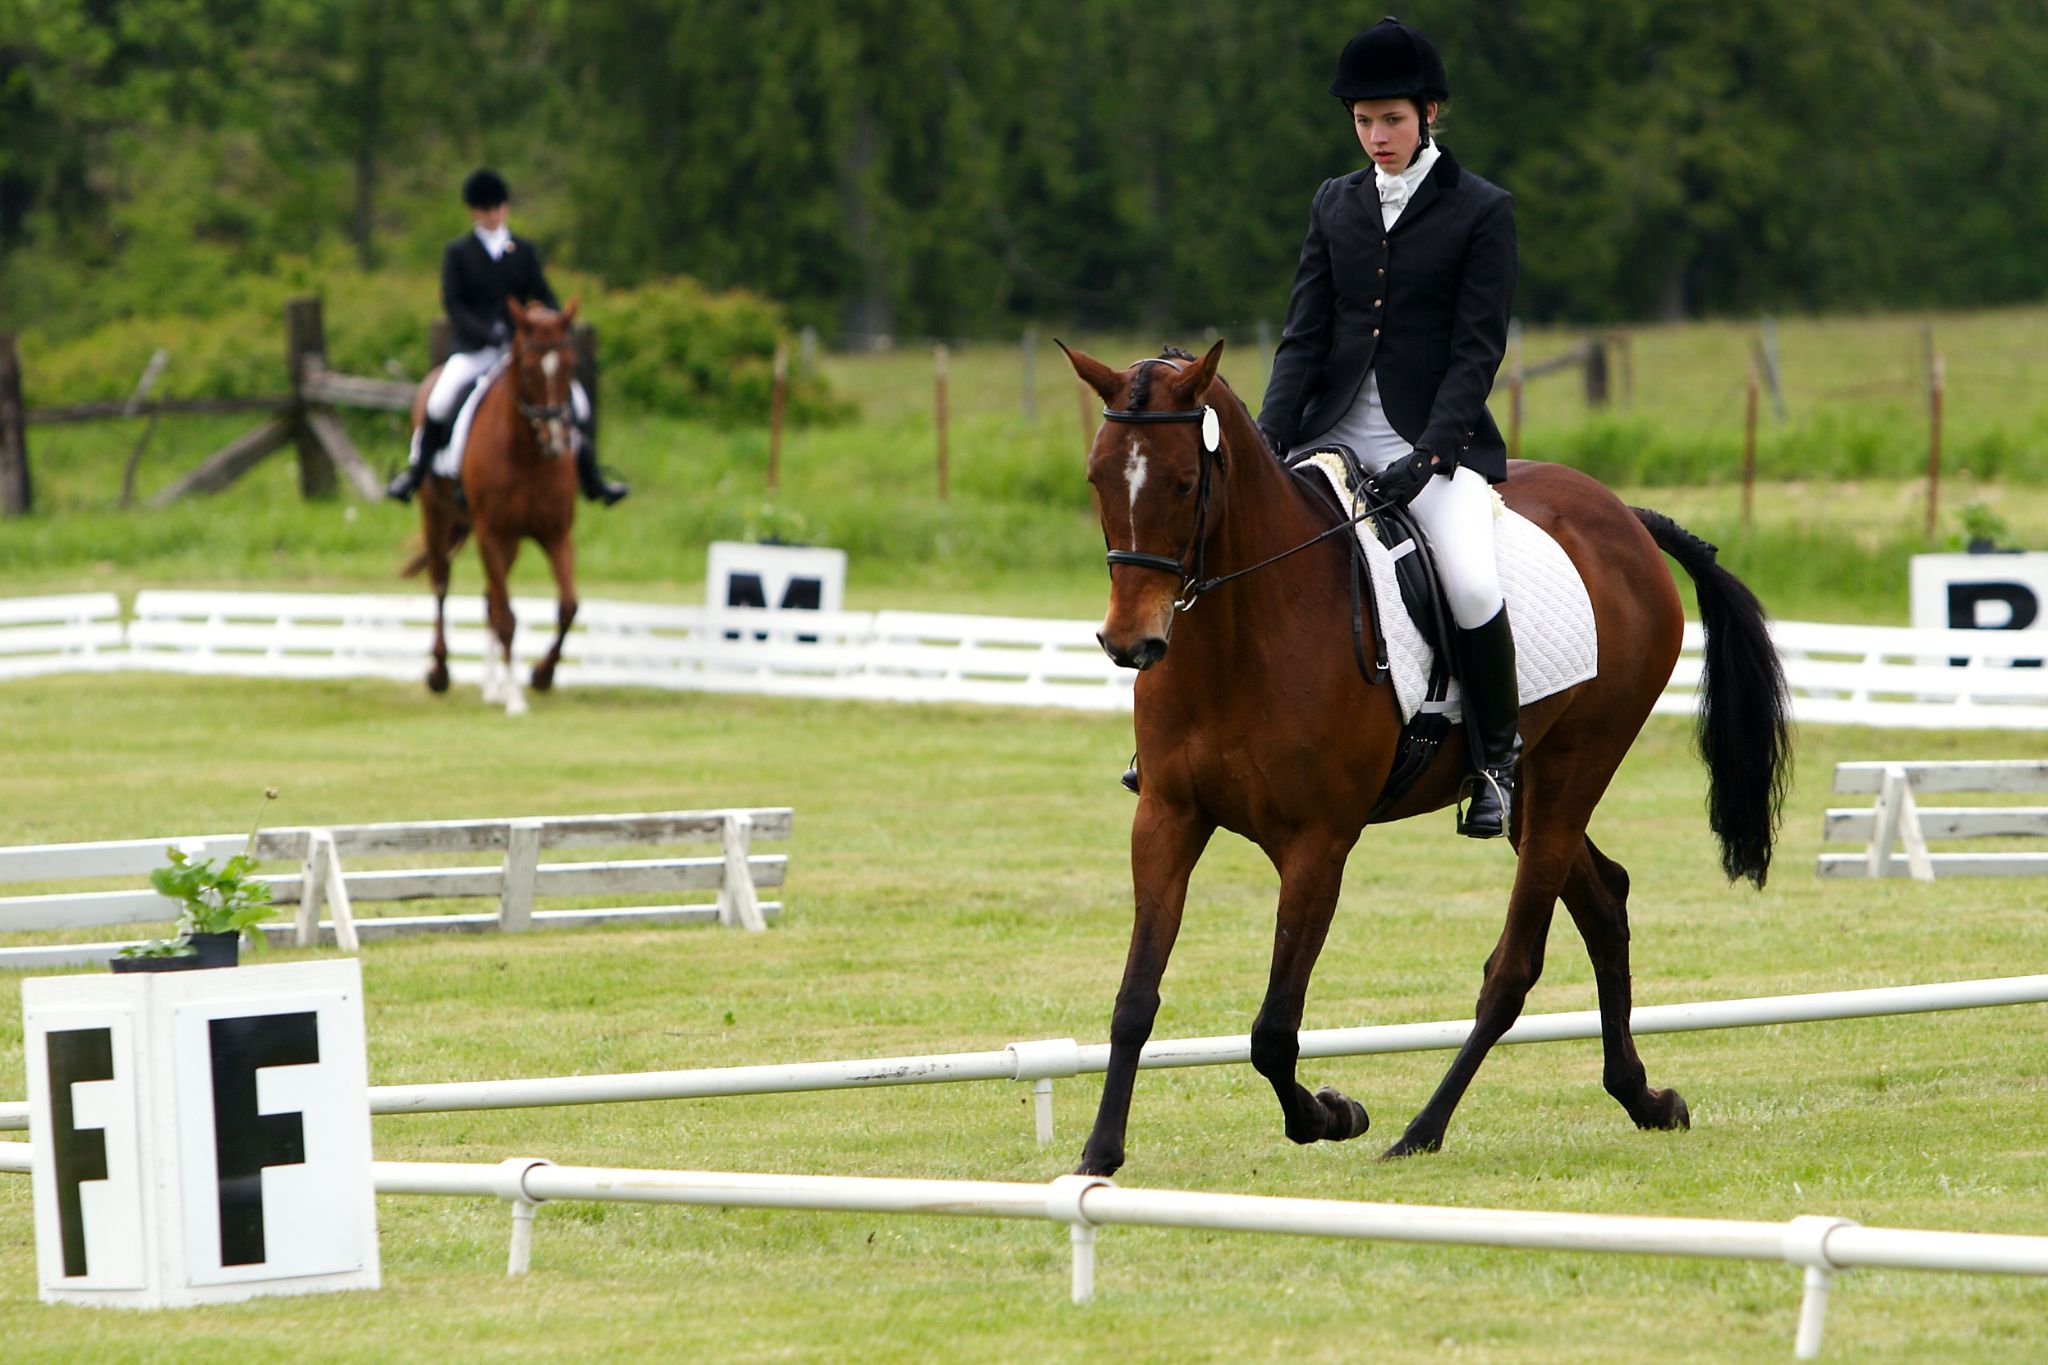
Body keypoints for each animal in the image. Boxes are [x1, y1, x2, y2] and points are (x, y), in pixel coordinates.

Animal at [403, 299, 582, 716]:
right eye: (529, 370)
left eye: (570, 365)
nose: (555, 440)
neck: (528, 453)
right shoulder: (490, 534)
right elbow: (507, 619)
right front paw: (516, 698)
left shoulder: (555, 534)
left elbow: (567, 607)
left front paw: (541, 675)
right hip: (438, 516)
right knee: (442, 581)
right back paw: (440, 672)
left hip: (510, 542)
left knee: (488, 598)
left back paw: (492, 688)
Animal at [1060, 339, 1791, 1176]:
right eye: (1097, 477)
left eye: (1184, 481)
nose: (1129, 642)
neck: (1239, 636)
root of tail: (1623, 518)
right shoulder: (1167, 818)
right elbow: (1134, 1000)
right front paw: (1099, 1153)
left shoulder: (1318, 845)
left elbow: (1273, 1030)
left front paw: (1332, 1113)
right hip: (1530, 788)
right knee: (1605, 900)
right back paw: (1643, 1097)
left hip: (1576, 768)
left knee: (1513, 969)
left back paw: (1422, 1129)